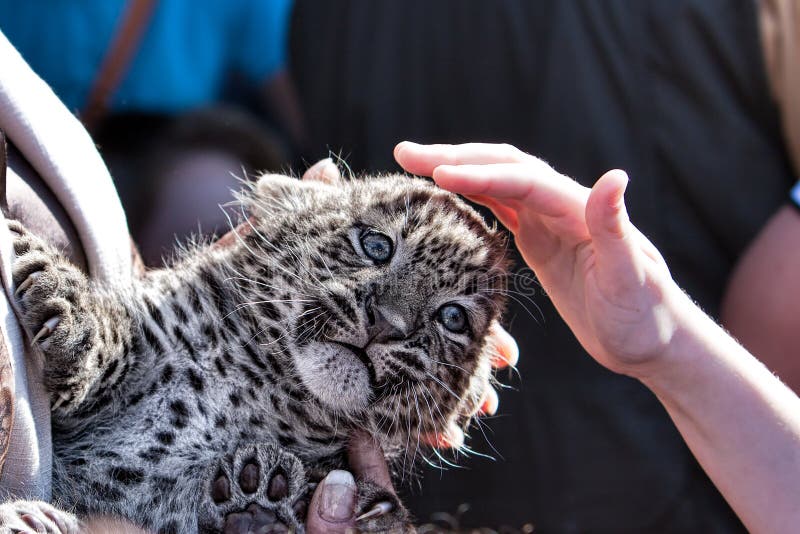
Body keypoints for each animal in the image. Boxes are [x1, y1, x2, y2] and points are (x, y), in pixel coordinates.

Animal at [0, 170, 508, 533]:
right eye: (376, 244)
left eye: (453, 318)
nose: (387, 322)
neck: (259, 385)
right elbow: (115, 335)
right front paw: (50, 280)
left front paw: (372, 515)